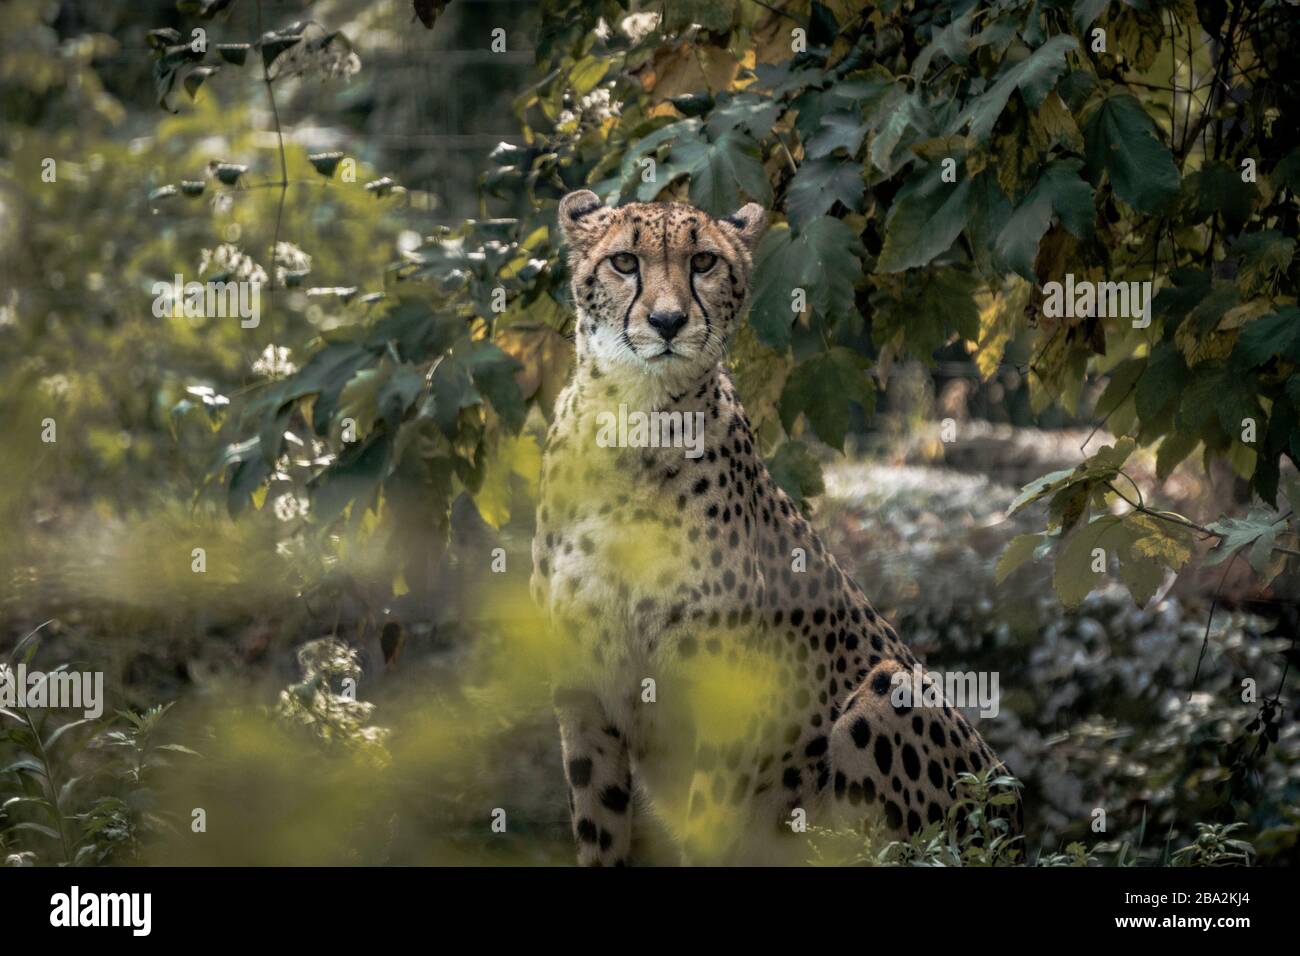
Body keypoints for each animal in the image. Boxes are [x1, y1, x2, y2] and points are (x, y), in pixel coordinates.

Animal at [530, 189, 1023, 865]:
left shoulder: (728, 695)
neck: (634, 422)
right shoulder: (583, 694)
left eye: (704, 261)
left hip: (892, 693)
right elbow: (598, 828)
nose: (667, 322)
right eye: (625, 262)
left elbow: (709, 823)